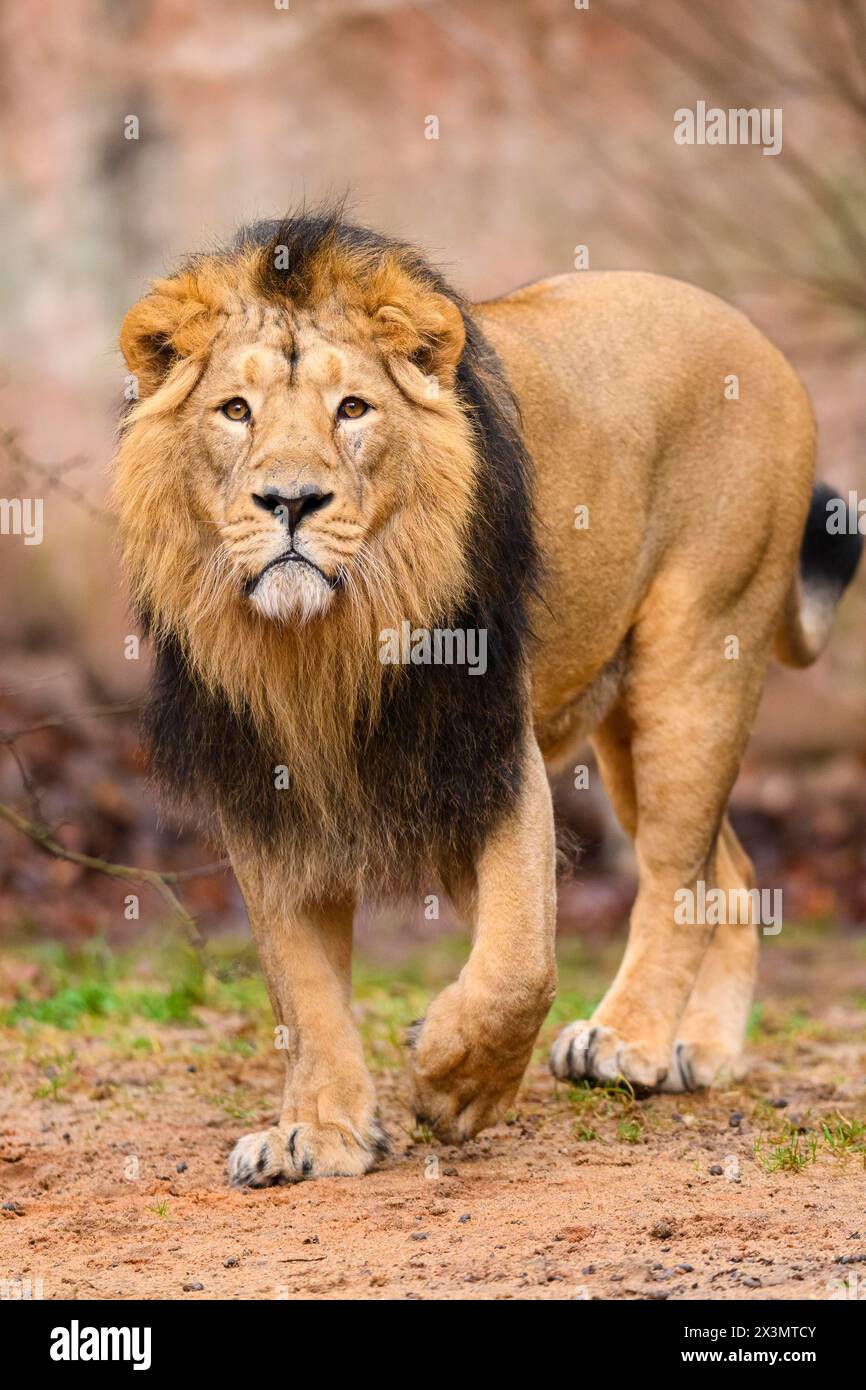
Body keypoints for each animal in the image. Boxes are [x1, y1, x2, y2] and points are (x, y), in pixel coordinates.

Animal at [114, 209, 861, 1186]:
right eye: (234, 411)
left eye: (353, 409)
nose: (291, 501)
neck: (323, 643)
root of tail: (752, 335)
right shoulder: (265, 787)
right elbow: (302, 986)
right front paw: (319, 1132)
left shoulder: (493, 749)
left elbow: (519, 962)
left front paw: (452, 1078)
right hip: (625, 719)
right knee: (723, 872)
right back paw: (703, 1050)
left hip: (696, 660)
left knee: (675, 872)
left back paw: (627, 1042)